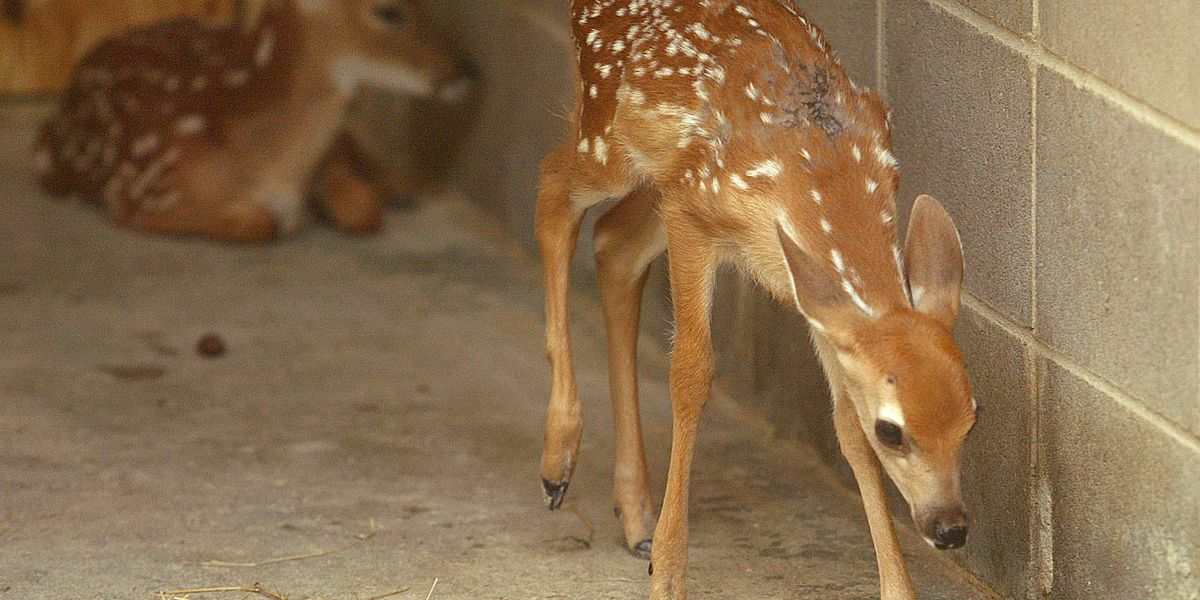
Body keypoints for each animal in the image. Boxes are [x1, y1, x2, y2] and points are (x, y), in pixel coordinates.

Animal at [34, 0, 473, 241]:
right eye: (388, 10)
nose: (466, 71)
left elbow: (362, 210)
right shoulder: (141, 196)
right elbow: (265, 222)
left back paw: (398, 187)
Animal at [536, 1, 977, 599]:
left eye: (973, 416)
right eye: (894, 431)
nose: (950, 528)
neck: (814, 169)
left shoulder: (813, 290)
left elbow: (846, 424)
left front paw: (898, 588)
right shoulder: (695, 213)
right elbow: (691, 374)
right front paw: (668, 576)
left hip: (656, 177)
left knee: (613, 245)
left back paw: (635, 516)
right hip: (609, 134)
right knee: (553, 188)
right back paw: (558, 462)